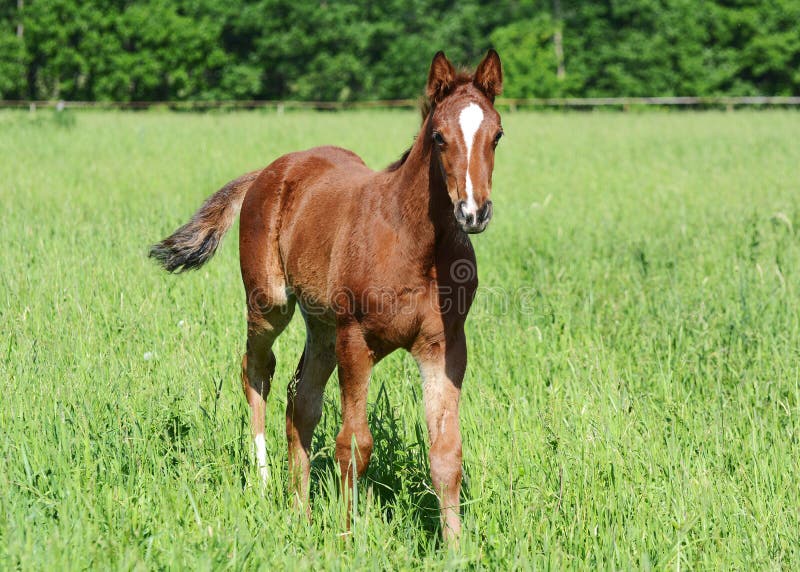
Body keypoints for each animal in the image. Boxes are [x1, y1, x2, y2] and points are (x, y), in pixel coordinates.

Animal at [149, 49, 503, 542]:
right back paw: (264, 481)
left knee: (300, 401)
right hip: (271, 304)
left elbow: (447, 452)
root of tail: (270, 170)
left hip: (321, 326)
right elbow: (353, 443)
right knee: (256, 370)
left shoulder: (443, 346)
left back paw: (301, 510)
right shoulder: (355, 340)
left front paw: (456, 546)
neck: (415, 245)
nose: (473, 212)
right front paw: (348, 537)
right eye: (439, 137)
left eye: (497, 135)